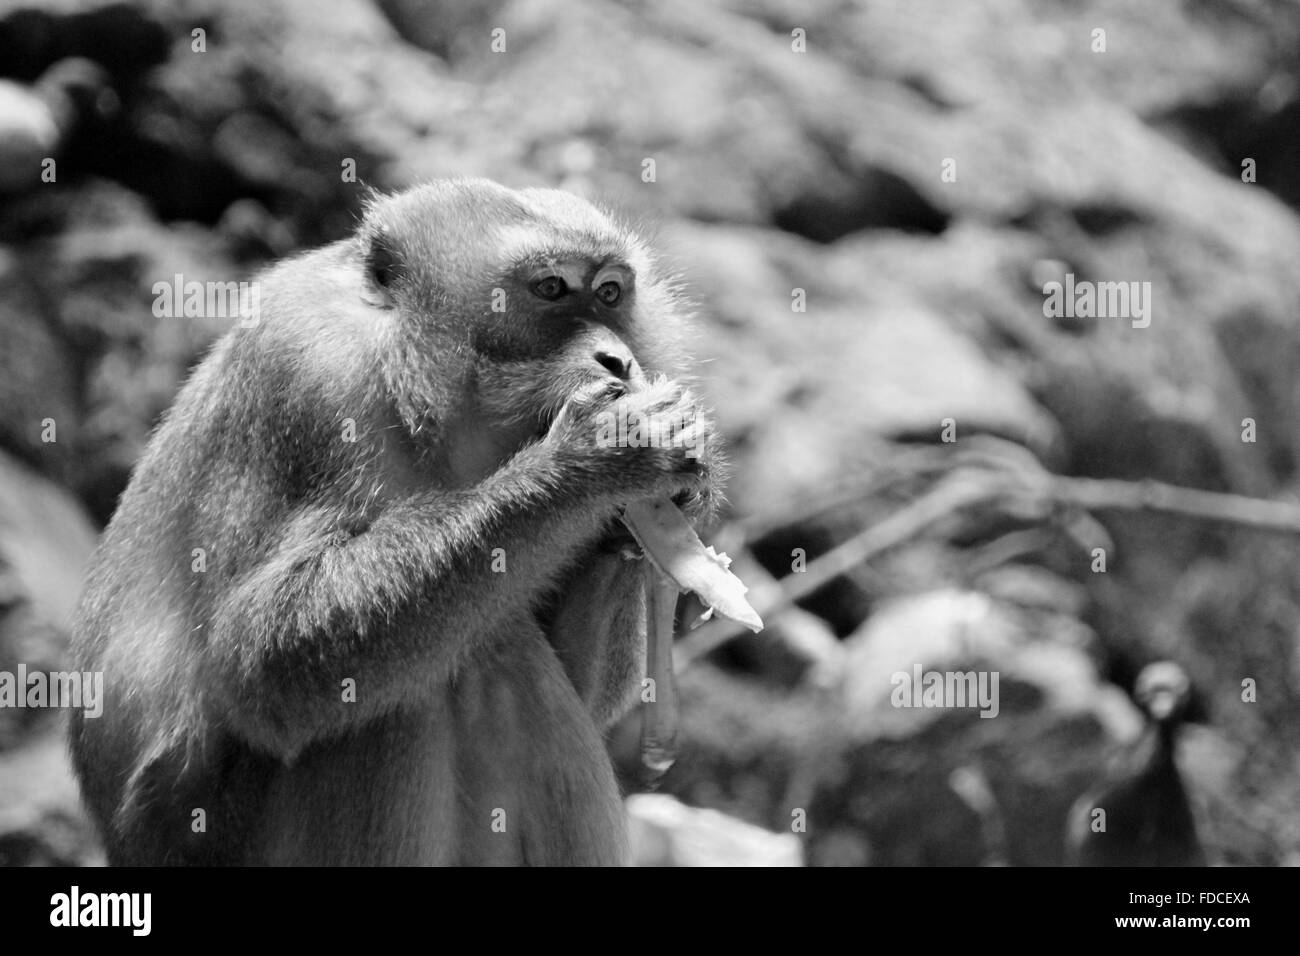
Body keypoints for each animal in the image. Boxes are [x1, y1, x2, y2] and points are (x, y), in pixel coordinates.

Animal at [67, 179, 722, 865]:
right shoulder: (306, 372)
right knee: (400, 686)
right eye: (550, 288)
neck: (409, 383)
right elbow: (258, 661)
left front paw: (655, 507)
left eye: (610, 294)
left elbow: (587, 694)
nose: (618, 359)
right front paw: (594, 458)